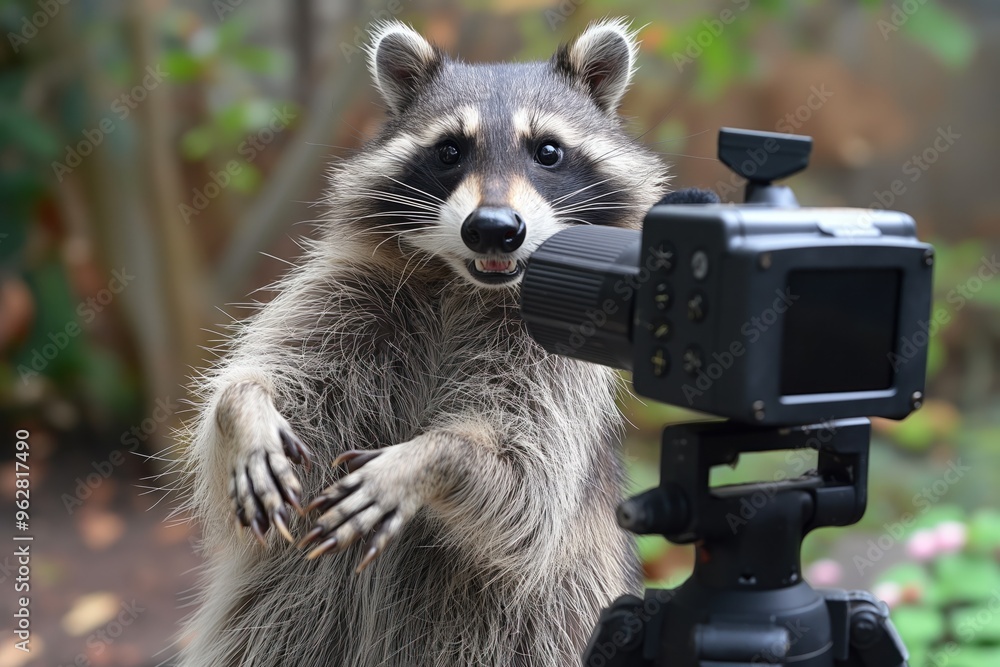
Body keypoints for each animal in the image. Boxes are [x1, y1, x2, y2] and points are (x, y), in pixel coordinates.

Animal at [175, 18, 669, 667]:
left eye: (548, 152)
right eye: (450, 150)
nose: (494, 229)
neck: (464, 288)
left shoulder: (556, 367)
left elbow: (527, 486)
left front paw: (429, 458)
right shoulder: (350, 298)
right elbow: (255, 387)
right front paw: (245, 410)